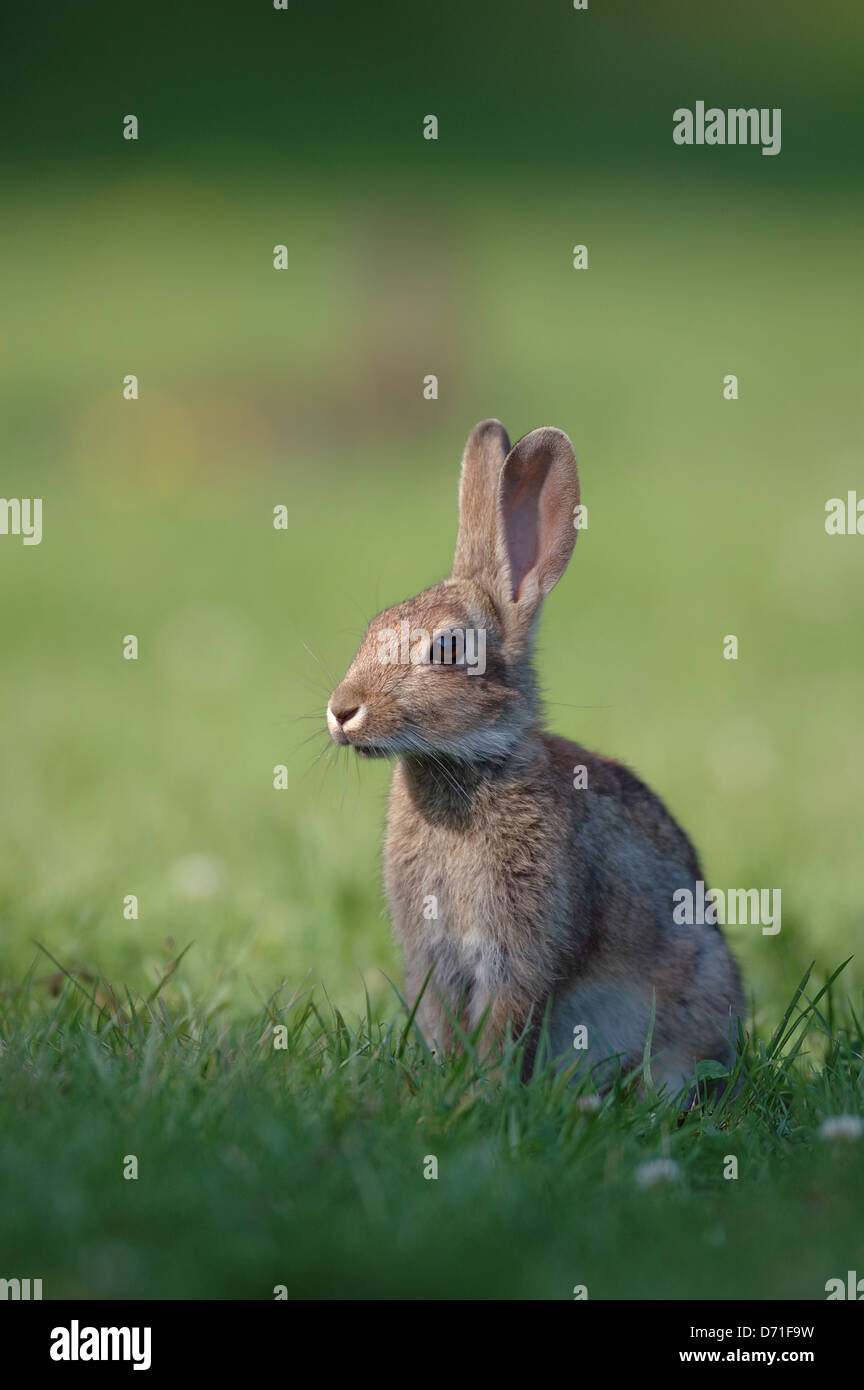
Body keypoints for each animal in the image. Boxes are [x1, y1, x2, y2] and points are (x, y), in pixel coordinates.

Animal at [326, 419, 744, 1093]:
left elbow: (504, 1022)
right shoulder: (432, 958)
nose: (341, 710)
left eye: (448, 648)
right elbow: (443, 1022)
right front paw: (448, 1084)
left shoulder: (519, 953)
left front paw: (482, 1094)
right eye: (373, 628)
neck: (467, 767)